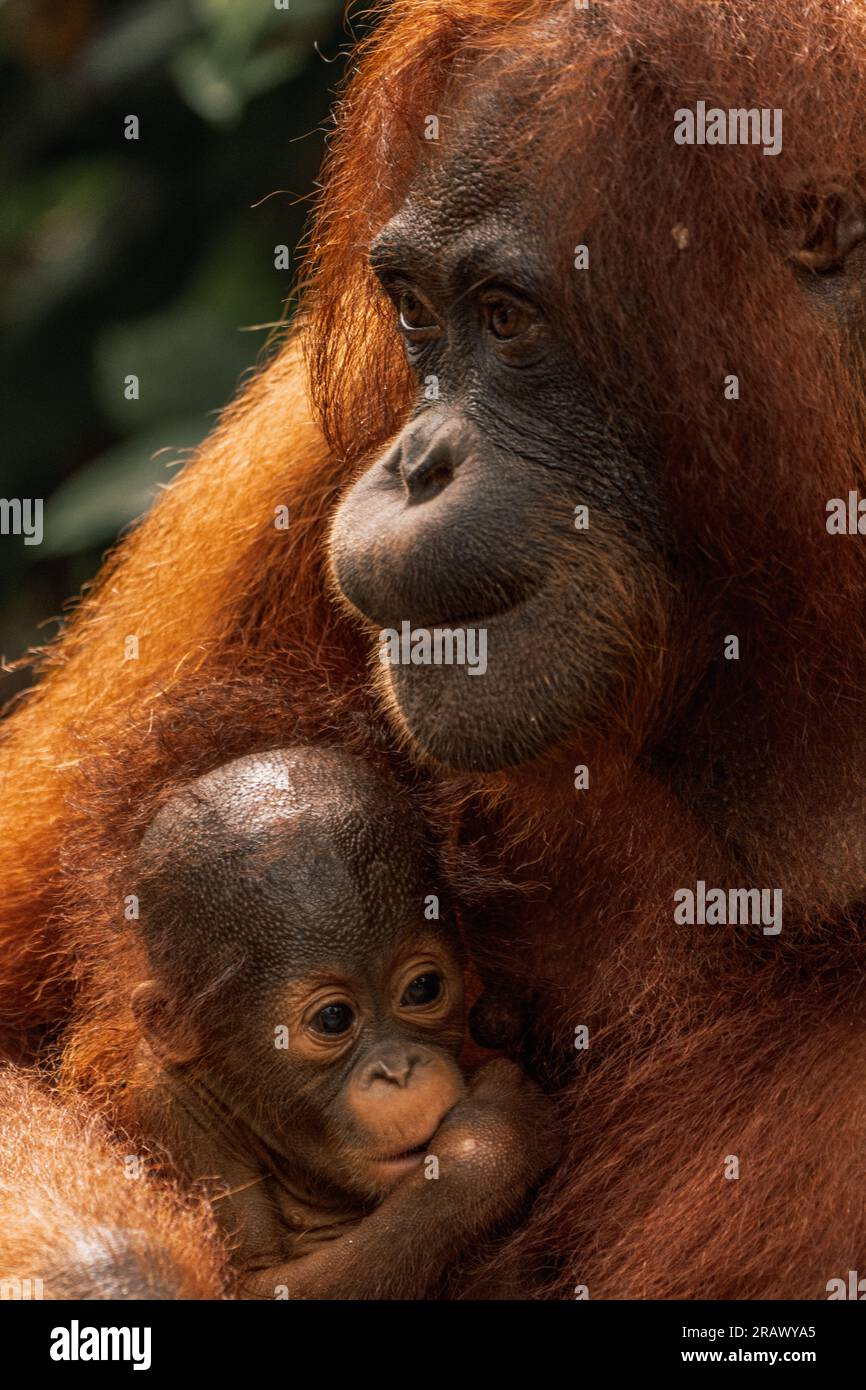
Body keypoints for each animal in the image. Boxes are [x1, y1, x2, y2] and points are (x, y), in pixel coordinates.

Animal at [128, 745, 559, 1299]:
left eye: (423, 989)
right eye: (334, 1018)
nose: (398, 1070)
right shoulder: (169, 1107)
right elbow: (248, 1281)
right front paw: (489, 1142)